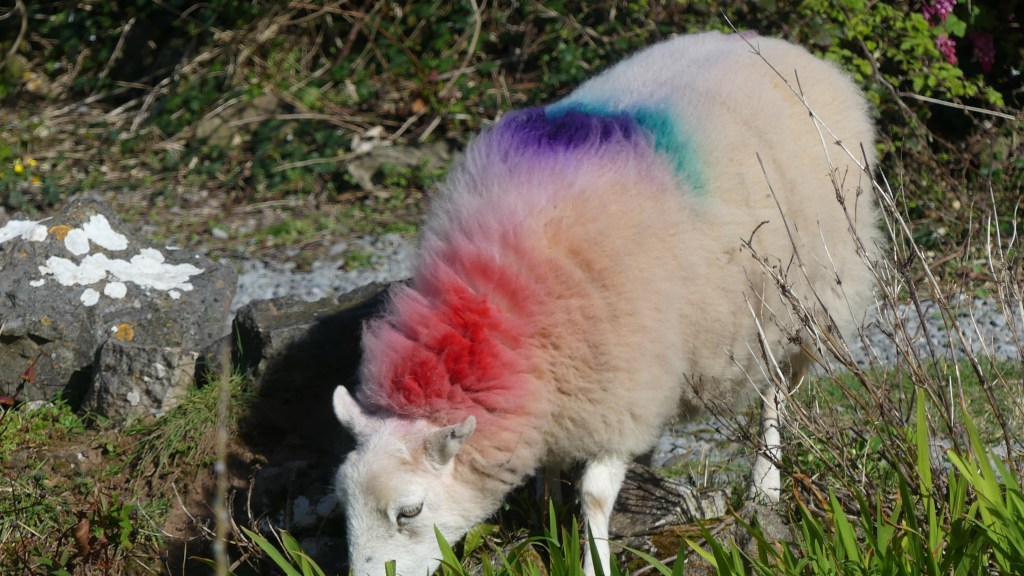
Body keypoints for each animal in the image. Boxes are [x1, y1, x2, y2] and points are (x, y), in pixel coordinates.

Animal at [332, 29, 881, 576]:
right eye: (345, 506)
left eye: (409, 511)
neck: (495, 308)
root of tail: (789, 48)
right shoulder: (563, 384)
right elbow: (551, 460)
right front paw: (546, 514)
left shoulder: (621, 385)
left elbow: (595, 493)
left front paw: (591, 557)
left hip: (801, 302)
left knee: (775, 394)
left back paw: (765, 485)